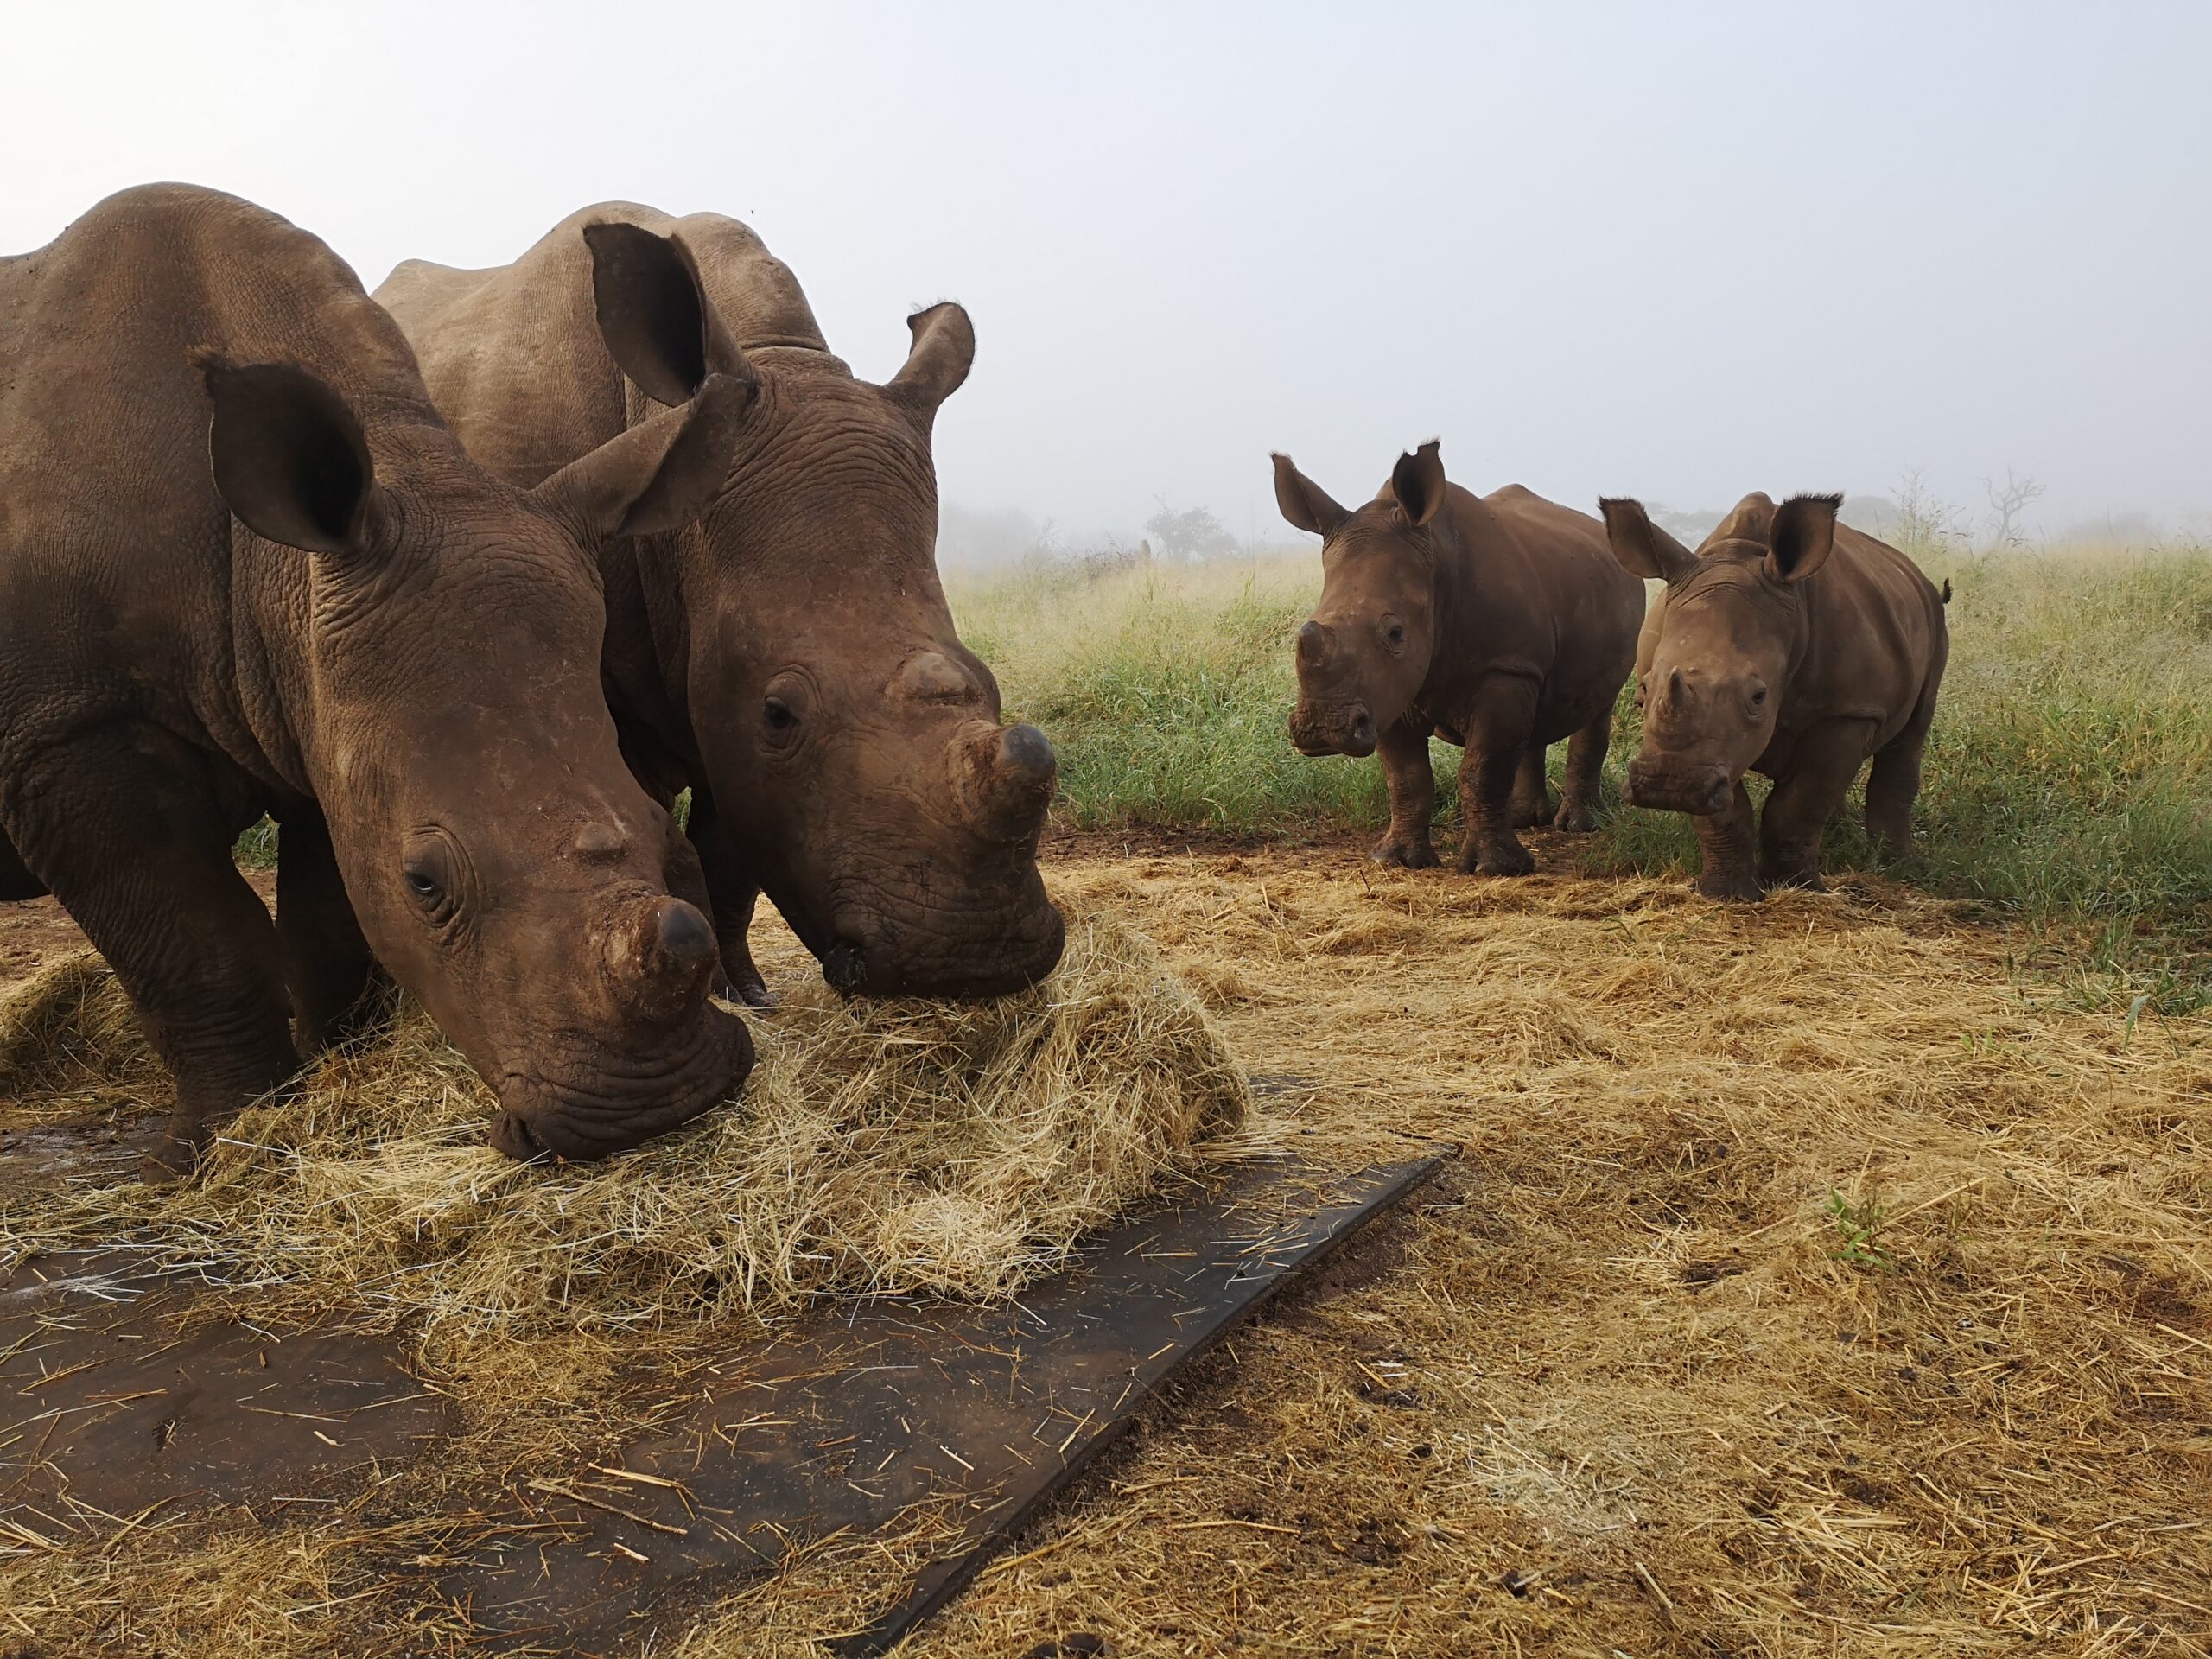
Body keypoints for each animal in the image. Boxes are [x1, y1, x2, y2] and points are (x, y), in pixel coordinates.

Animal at [0, 185, 753, 1168]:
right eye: (425, 883)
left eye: (669, 839)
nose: (658, 1107)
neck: (274, 575)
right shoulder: (66, 729)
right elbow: (192, 942)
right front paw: (223, 1145)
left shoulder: (313, 710)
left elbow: (332, 926)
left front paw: (338, 1072)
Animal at [375, 208, 1063, 1003]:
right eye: (779, 712)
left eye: (989, 681)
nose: (970, 958)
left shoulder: (720, 705)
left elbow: (730, 853)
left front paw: (748, 993)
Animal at [1275, 443, 1646, 874]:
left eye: (1395, 633)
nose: (1322, 729)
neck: (1436, 558)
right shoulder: (1390, 688)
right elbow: (1406, 777)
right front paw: (1398, 860)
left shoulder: (1503, 666)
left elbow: (1482, 768)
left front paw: (1498, 868)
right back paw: (1525, 819)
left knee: (1598, 708)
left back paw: (1580, 826)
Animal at [1597, 492, 1950, 901]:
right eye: (1644, 690)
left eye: (1759, 696)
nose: (1668, 787)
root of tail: (1916, 574)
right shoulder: (1714, 750)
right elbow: (1727, 813)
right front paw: (1727, 894)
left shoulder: (1848, 711)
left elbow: (1799, 803)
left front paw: (1796, 888)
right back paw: (1840, 841)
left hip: (1935, 622)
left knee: (1910, 736)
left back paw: (1901, 867)